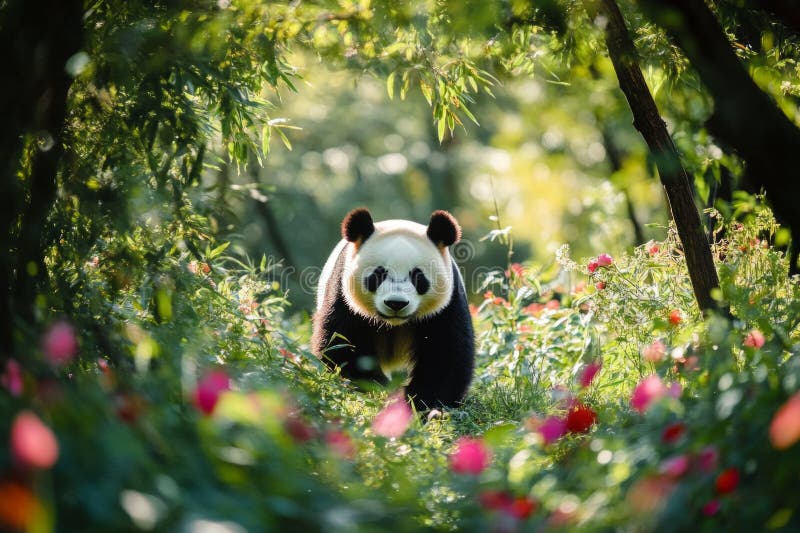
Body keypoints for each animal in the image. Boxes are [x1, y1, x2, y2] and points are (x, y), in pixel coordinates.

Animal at [312, 208, 475, 409]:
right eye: (379, 274)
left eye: (417, 276)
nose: (396, 303)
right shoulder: (343, 296)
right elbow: (343, 344)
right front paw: (380, 389)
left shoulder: (447, 304)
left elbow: (445, 355)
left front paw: (420, 401)